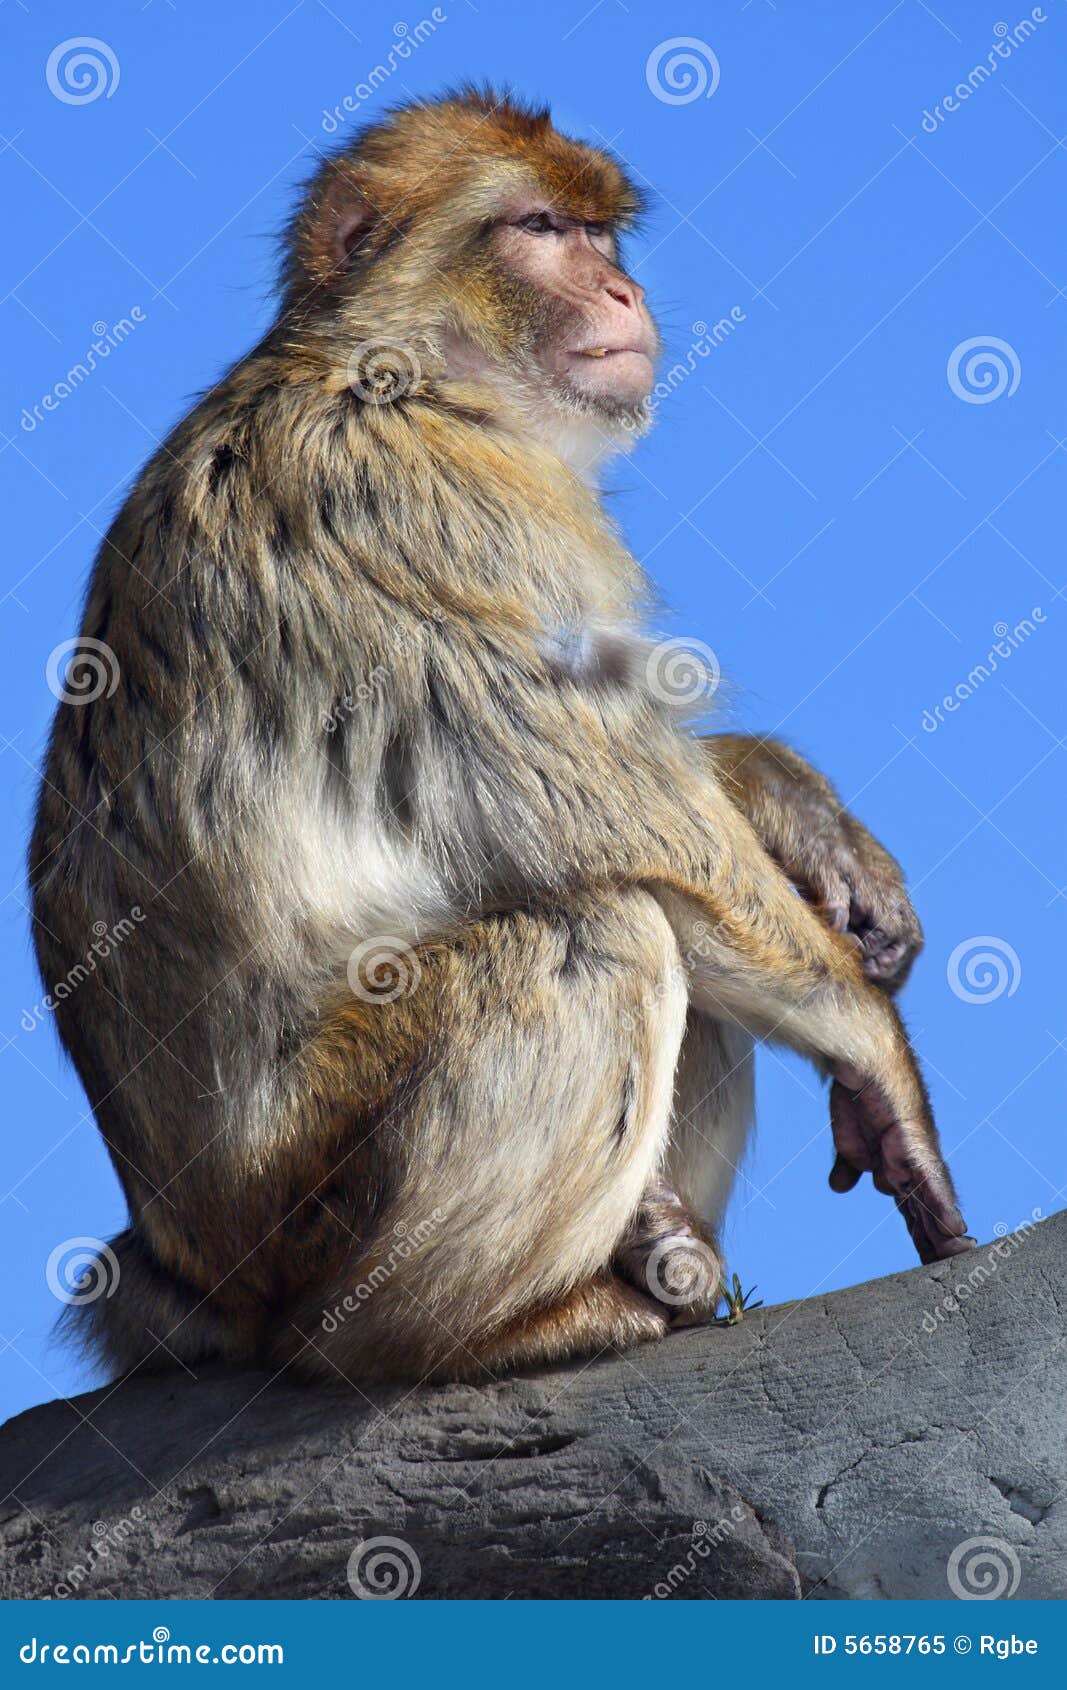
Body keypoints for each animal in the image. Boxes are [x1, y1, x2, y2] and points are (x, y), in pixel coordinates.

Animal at [29, 89, 974, 1388]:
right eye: (537, 228)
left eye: (601, 230)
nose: (622, 291)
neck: (397, 370)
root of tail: (189, 1277)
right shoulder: (437, 504)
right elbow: (626, 825)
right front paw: (881, 1065)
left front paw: (795, 805)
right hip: (307, 1202)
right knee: (600, 931)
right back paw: (475, 1329)